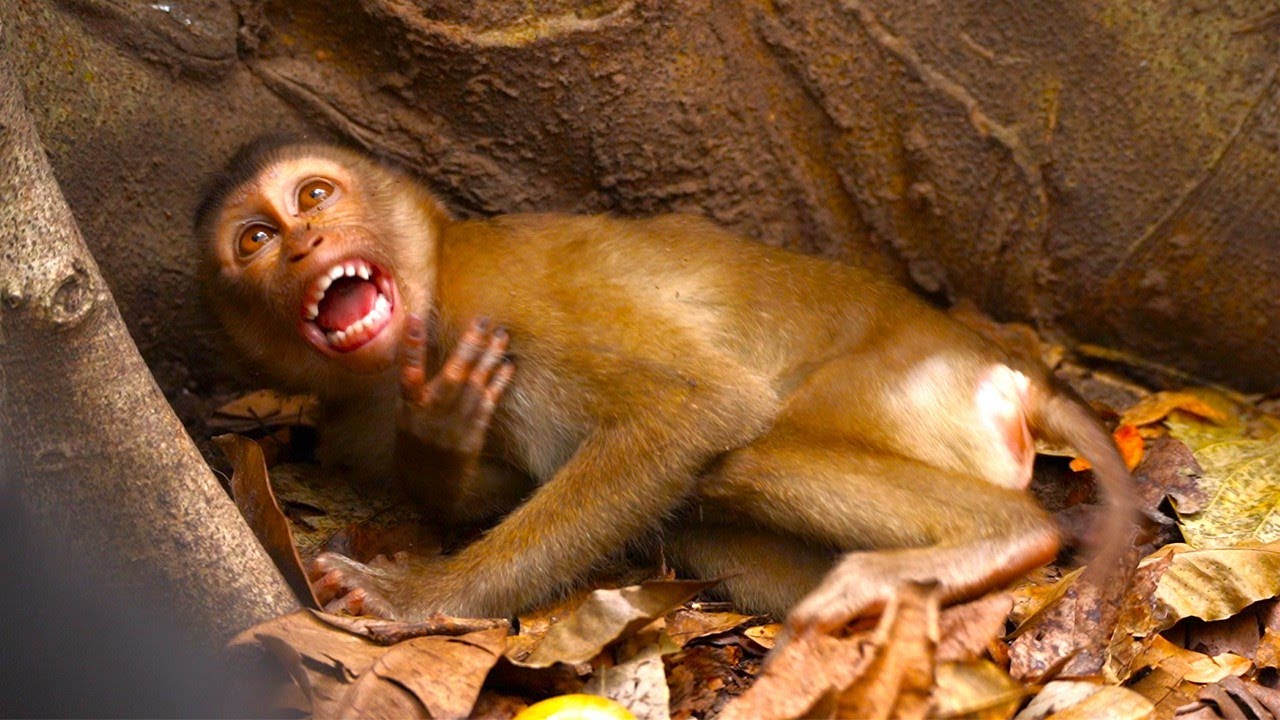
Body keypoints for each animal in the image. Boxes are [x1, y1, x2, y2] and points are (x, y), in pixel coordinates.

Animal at [195, 137, 1136, 634]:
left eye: (315, 195)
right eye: (255, 241)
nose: (304, 247)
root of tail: (1004, 370)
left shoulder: (501, 302)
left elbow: (698, 406)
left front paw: (423, 597)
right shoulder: (355, 421)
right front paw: (438, 439)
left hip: (906, 395)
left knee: (742, 454)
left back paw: (1004, 539)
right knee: (702, 513)